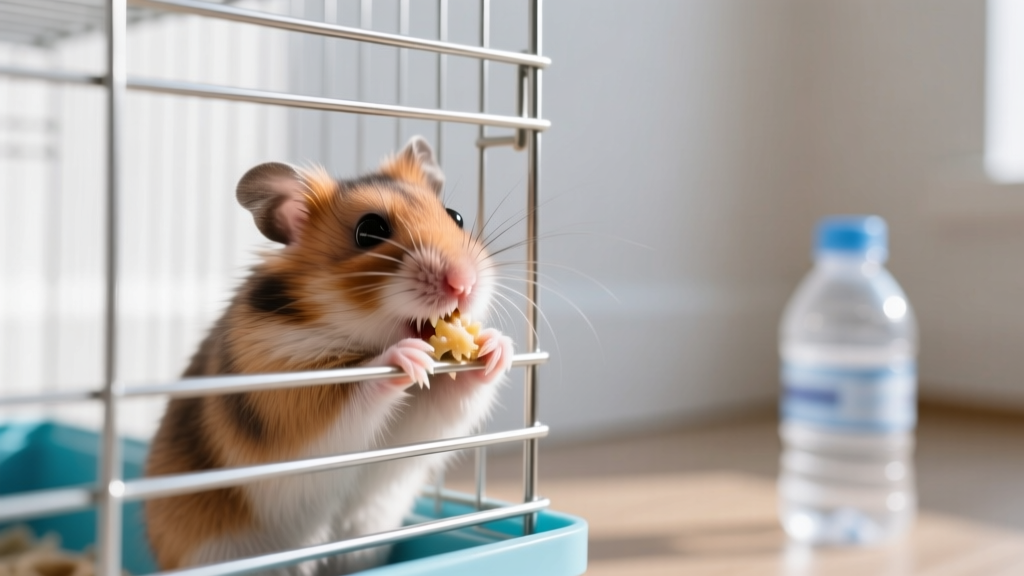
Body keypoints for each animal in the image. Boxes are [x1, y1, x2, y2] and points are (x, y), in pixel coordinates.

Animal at [144, 136, 513, 575]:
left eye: (455, 216)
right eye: (369, 231)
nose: (463, 283)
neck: (352, 334)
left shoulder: (420, 422)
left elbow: (452, 398)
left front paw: (497, 346)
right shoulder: (289, 400)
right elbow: (350, 396)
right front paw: (408, 356)